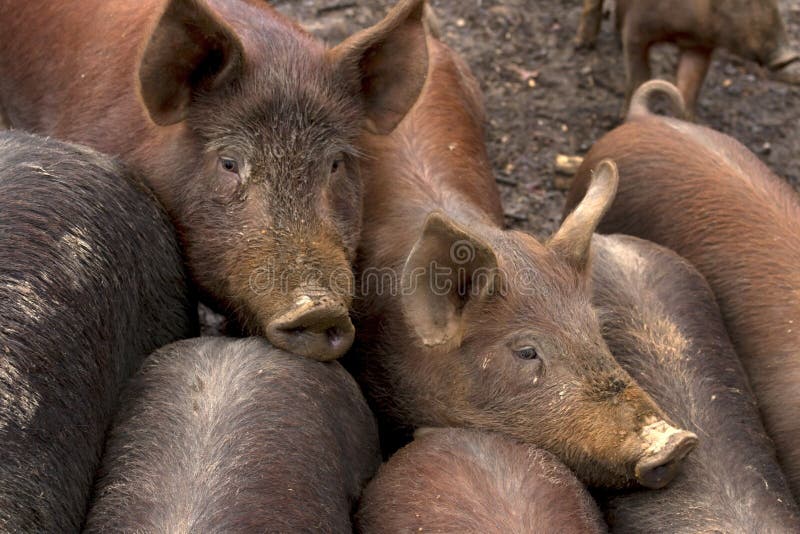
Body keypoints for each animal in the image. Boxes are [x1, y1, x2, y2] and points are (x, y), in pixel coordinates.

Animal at [575, 0, 800, 115]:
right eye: (741, 2)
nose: (790, 57)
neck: (680, 32)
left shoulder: (699, 46)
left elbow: (688, 88)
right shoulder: (636, 32)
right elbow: (639, 76)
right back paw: (582, 45)